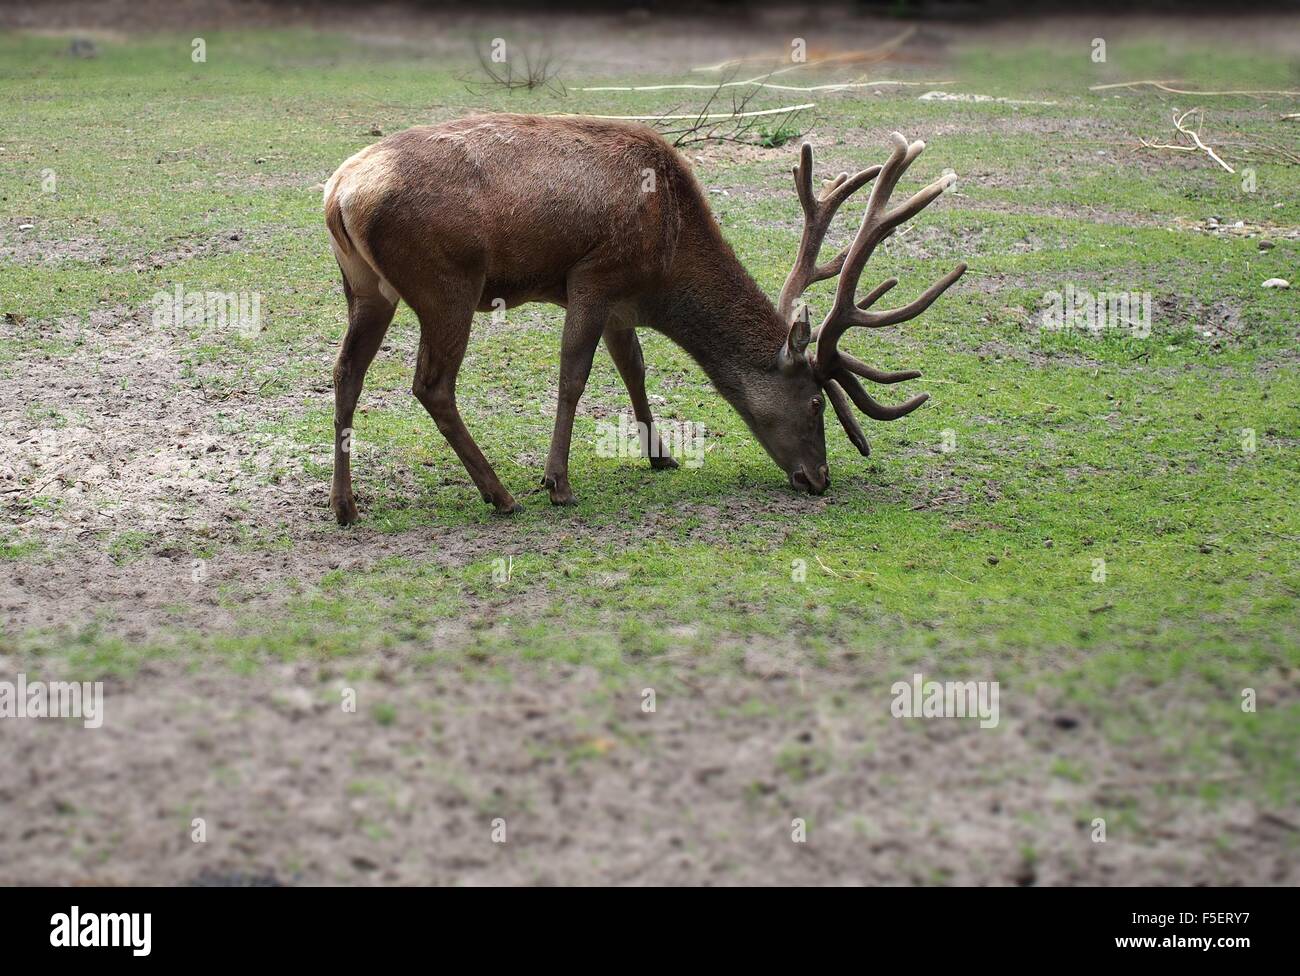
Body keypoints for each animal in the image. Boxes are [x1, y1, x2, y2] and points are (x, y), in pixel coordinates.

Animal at [323, 114, 964, 524]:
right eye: (814, 403)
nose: (820, 479)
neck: (667, 264)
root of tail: (338, 193)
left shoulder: (621, 302)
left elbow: (634, 370)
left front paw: (660, 454)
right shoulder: (594, 274)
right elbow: (574, 377)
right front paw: (557, 483)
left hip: (366, 288)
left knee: (345, 373)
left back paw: (345, 506)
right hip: (449, 283)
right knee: (431, 385)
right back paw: (501, 495)